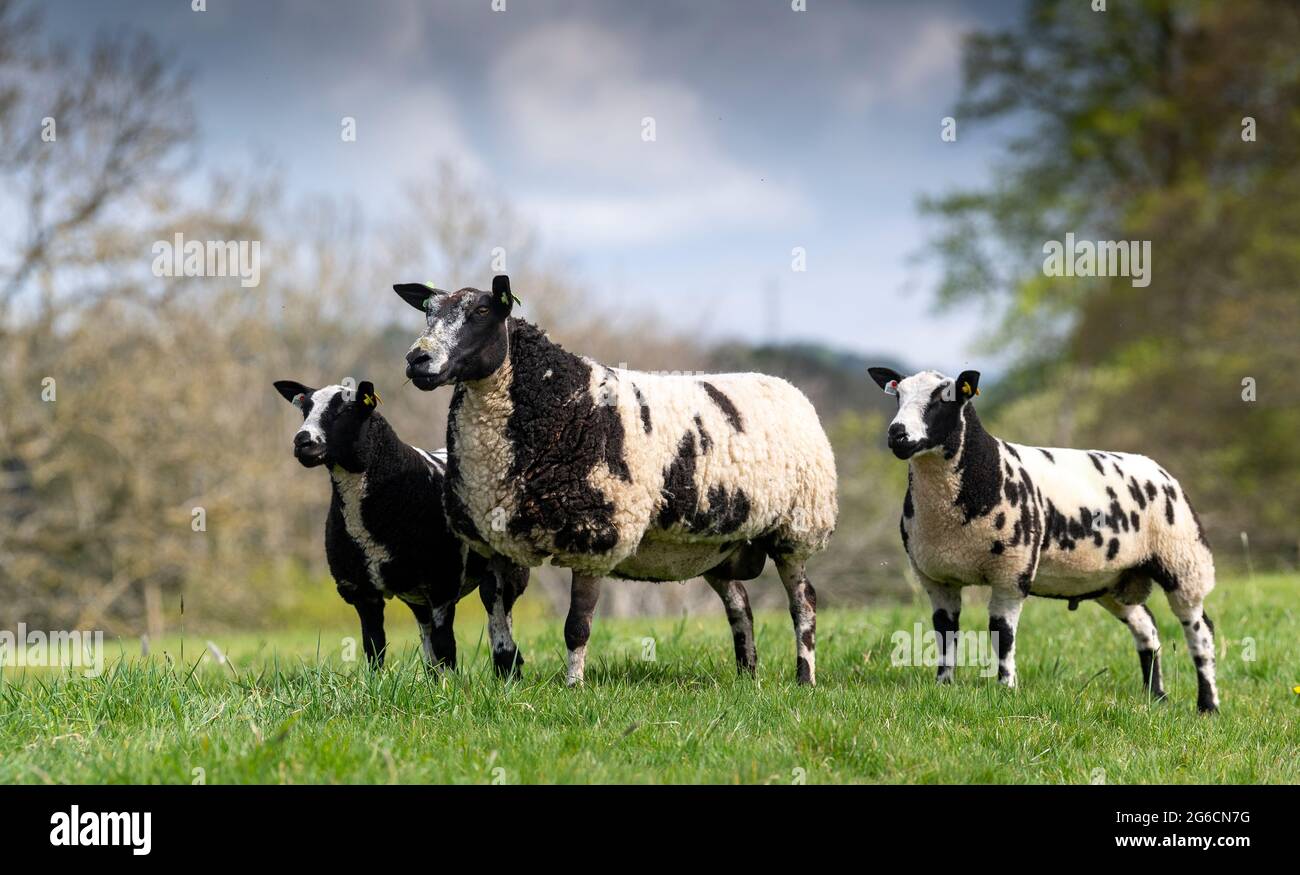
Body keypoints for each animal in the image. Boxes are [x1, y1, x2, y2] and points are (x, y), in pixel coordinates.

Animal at [273, 378, 529, 675]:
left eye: (345, 410)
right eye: (305, 410)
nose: (302, 442)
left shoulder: (442, 580)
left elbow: (446, 645)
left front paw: (449, 685)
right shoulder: (363, 591)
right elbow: (374, 645)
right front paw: (377, 682)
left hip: (504, 566)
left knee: (497, 610)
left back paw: (507, 670)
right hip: (416, 591)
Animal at [393, 276, 838, 685]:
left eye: (483, 311)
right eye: (428, 312)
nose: (417, 359)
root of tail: (787, 388)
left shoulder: (597, 535)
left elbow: (577, 625)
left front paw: (573, 686)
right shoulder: (496, 538)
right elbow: (496, 614)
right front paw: (506, 680)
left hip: (796, 528)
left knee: (804, 602)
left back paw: (805, 678)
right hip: (717, 543)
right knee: (739, 602)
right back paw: (747, 674)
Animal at [867, 367, 1220, 712]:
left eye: (944, 398)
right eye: (897, 395)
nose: (897, 434)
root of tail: (1160, 471)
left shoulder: (1012, 572)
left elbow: (1002, 633)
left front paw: (1006, 688)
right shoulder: (936, 578)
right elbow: (944, 631)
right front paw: (943, 685)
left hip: (1184, 561)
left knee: (1199, 630)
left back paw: (1208, 705)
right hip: (1113, 579)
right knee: (1147, 626)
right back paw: (1155, 697)